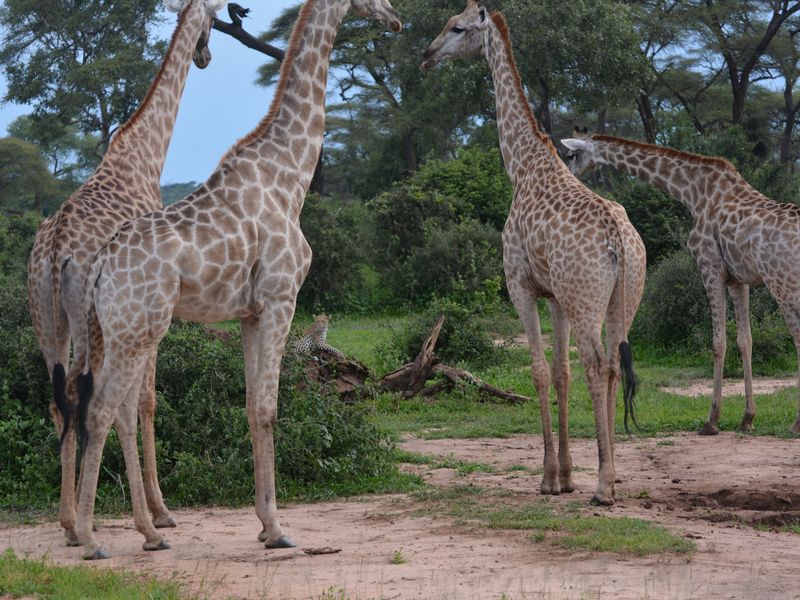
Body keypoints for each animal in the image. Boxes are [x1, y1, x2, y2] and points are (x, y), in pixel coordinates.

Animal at [25, 0, 225, 548]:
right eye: (213, 19)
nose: (205, 56)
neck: (145, 154)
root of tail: (55, 252)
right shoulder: (149, 316)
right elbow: (147, 402)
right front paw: (159, 510)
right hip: (93, 324)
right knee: (92, 398)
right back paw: (96, 523)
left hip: (48, 321)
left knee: (61, 399)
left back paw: (69, 521)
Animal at [73, 0, 402, 560]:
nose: (397, 19)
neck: (291, 175)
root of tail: (100, 267)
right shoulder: (281, 298)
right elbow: (269, 407)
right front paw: (277, 528)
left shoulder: (249, 312)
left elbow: (250, 407)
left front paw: (263, 524)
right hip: (138, 329)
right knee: (101, 410)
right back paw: (94, 538)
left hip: (120, 331)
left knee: (112, 408)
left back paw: (140, 532)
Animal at [421, 1, 646, 506]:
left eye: (457, 28)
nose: (426, 56)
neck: (520, 166)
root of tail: (619, 242)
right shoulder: (555, 296)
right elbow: (561, 374)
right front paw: (565, 475)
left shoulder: (520, 285)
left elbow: (541, 371)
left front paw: (547, 478)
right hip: (624, 298)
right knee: (613, 367)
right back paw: (611, 476)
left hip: (586, 299)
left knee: (597, 365)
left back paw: (604, 486)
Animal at [562, 131, 800, 436]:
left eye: (572, 155)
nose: (569, 176)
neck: (693, 193)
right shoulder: (738, 278)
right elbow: (745, 340)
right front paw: (747, 418)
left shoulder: (710, 266)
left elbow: (718, 342)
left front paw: (711, 420)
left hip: (783, 286)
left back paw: (795, 423)